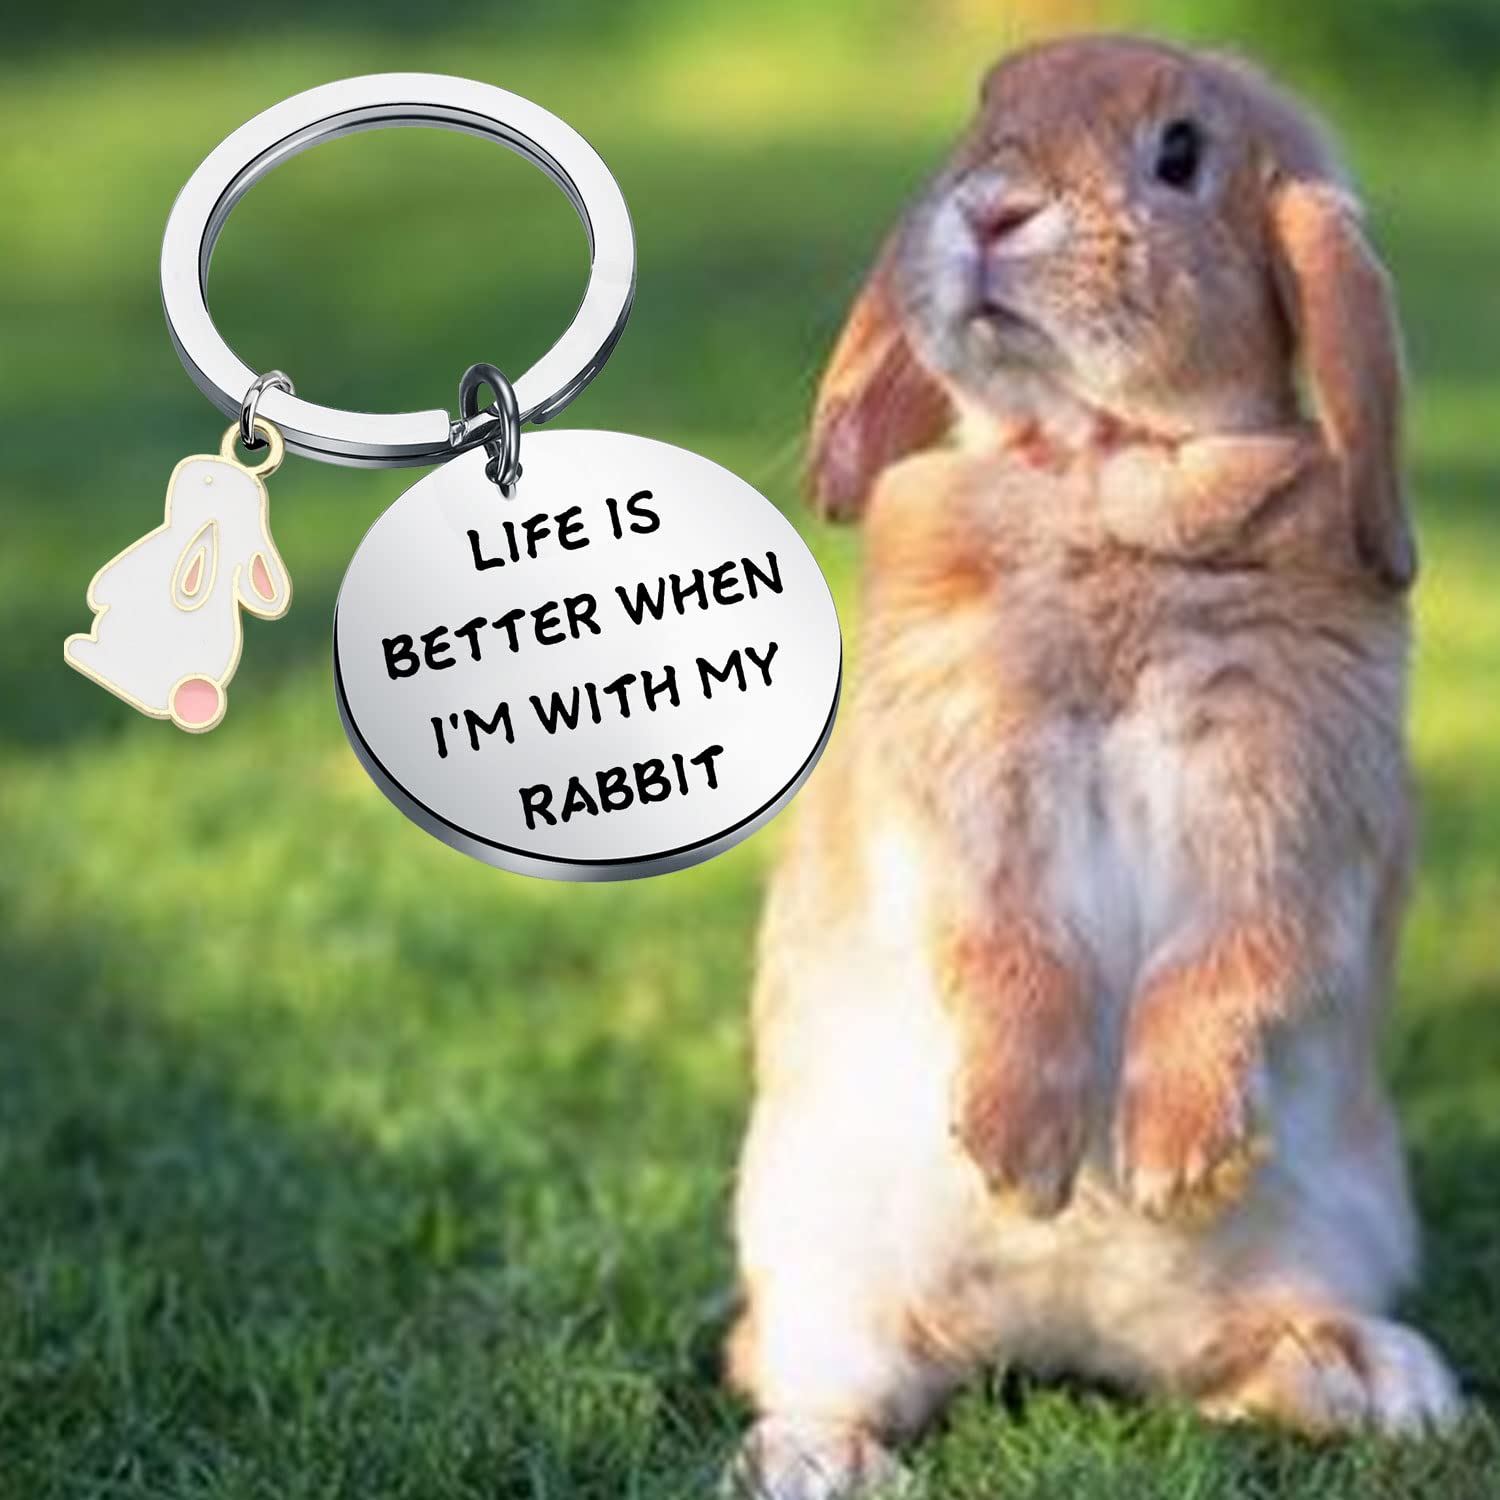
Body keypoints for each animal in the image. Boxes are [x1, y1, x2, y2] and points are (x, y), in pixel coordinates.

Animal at [726, 36, 1460, 1499]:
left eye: (1180, 154)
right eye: (982, 120)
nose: (991, 211)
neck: (1108, 474)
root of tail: (1061, 1338)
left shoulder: (1287, 814)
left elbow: (1229, 963)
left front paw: (1170, 1164)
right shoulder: (964, 797)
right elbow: (1012, 952)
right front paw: (1020, 1158)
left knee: (1237, 1363)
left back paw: (1380, 1382)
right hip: (824, 1273)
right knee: (810, 1374)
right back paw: (826, 1463)